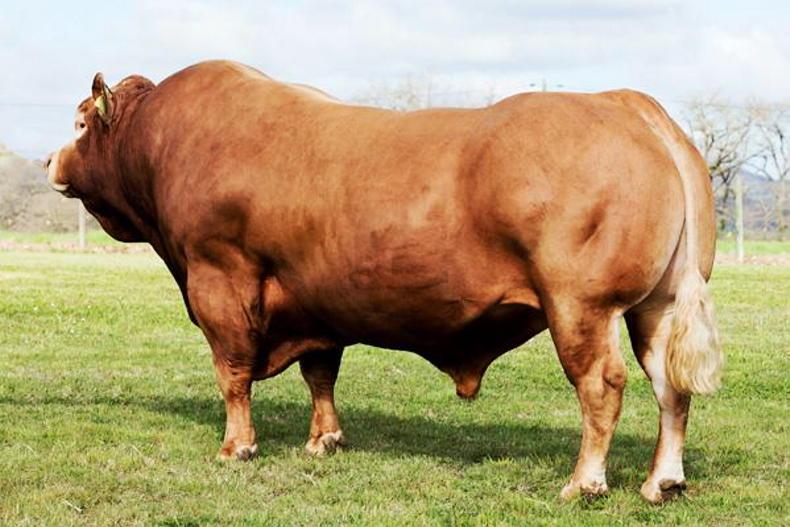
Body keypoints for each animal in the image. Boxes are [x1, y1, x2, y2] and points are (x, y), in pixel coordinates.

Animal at [45, 60, 722, 503]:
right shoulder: (312, 301)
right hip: (656, 306)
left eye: (79, 125)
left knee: (602, 385)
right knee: (670, 387)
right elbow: (320, 373)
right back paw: (662, 482)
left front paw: (236, 447)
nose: (51, 160)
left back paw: (584, 483)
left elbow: (231, 372)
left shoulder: (219, 280)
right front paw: (324, 440)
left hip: (581, 305)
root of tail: (626, 103)